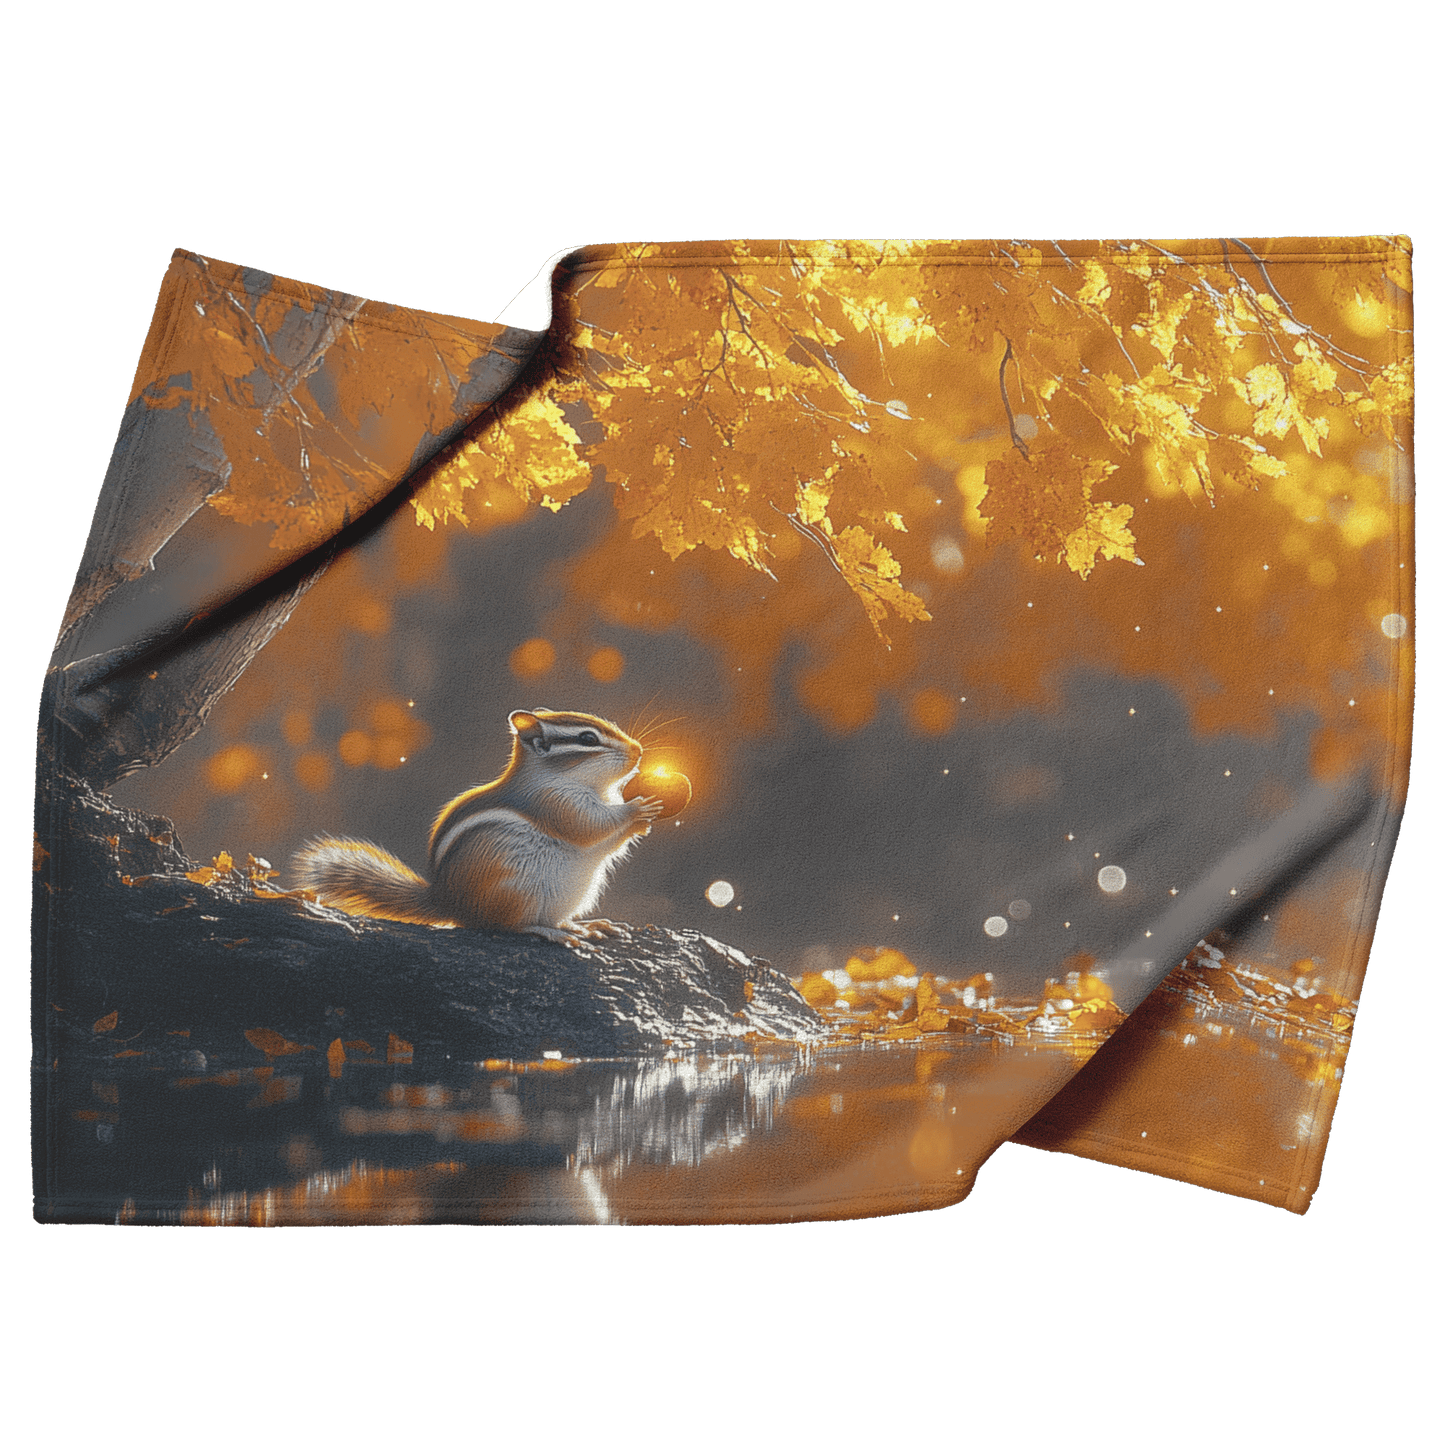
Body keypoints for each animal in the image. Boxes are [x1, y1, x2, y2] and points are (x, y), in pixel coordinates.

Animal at [291, 709, 663, 946]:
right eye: (587, 738)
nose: (639, 751)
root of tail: (447, 903)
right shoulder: (554, 803)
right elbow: (590, 826)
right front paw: (636, 809)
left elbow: (606, 842)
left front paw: (642, 822)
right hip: (517, 892)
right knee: (507, 925)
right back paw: (552, 932)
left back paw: (584, 925)